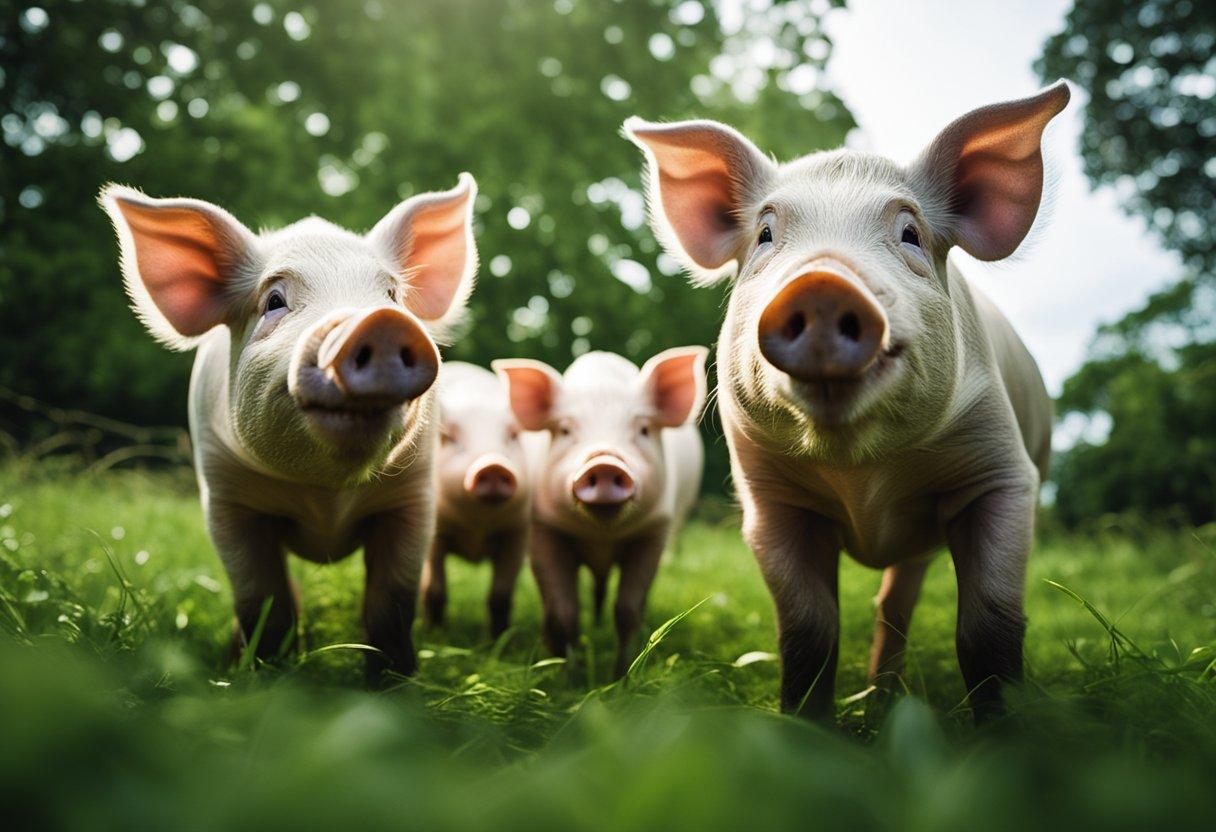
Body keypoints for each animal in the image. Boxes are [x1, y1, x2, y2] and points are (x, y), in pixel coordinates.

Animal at [99, 174, 479, 684]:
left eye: (392, 297)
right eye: (274, 301)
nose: (378, 323)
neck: (325, 496)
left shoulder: (413, 497)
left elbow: (391, 605)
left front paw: (393, 685)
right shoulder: (225, 497)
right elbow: (262, 597)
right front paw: (262, 675)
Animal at [424, 361, 534, 637]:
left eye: (513, 435)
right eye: (449, 437)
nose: (493, 465)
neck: (477, 526)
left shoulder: (518, 531)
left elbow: (501, 595)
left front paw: (500, 638)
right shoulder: (434, 531)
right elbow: (434, 589)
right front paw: (434, 634)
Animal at [494, 348, 706, 677]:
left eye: (643, 429)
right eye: (565, 429)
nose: (605, 463)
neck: (601, 536)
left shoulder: (654, 531)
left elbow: (627, 610)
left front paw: (622, 676)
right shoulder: (545, 529)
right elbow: (564, 610)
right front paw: (570, 675)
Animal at [625, 82, 1069, 721]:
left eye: (910, 234)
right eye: (764, 235)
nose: (823, 284)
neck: (862, 473)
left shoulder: (1005, 474)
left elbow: (988, 627)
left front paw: (1003, 728)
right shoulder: (769, 499)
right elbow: (808, 631)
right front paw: (805, 728)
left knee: (897, 598)